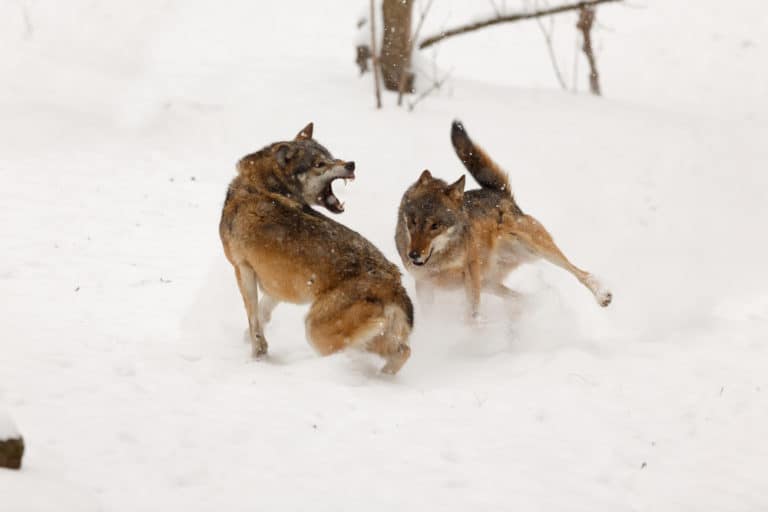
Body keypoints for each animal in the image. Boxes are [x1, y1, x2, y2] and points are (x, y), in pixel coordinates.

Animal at [220, 123, 413, 374]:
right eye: (320, 164)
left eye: (330, 158)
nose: (350, 164)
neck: (257, 184)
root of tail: (394, 283)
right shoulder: (276, 284)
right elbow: (263, 313)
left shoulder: (242, 268)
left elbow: (254, 319)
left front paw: (257, 355)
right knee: (403, 351)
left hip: (315, 329)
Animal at [395, 120, 612, 320]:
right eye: (412, 222)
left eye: (435, 226)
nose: (413, 255)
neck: (440, 261)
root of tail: (500, 193)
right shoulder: (424, 285)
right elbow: (431, 314)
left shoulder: (470, 276)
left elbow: (473, 315)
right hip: (491, 281)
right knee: (520, 298)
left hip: (536, 248)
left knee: (580, 272)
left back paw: (602, 296)